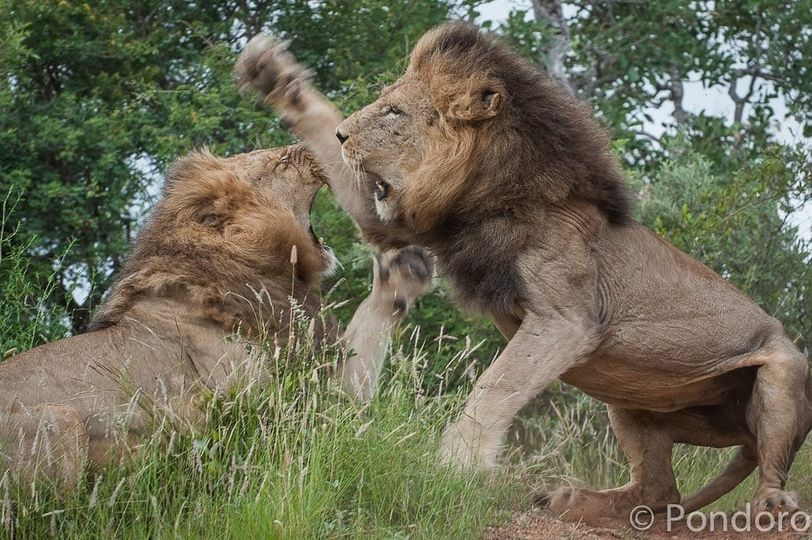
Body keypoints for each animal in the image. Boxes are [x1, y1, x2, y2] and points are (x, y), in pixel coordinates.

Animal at [235, 24, 812, 523]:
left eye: (395, 112)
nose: (343, 134)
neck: (488, 193)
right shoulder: (406, 226)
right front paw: (271, 73)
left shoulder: (567, 319)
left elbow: (496, 386)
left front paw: (456, 464)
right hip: (629, 405)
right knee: (657, 491)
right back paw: (574, 502)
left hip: (782, 378)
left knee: (767, 467)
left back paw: (768, 506)